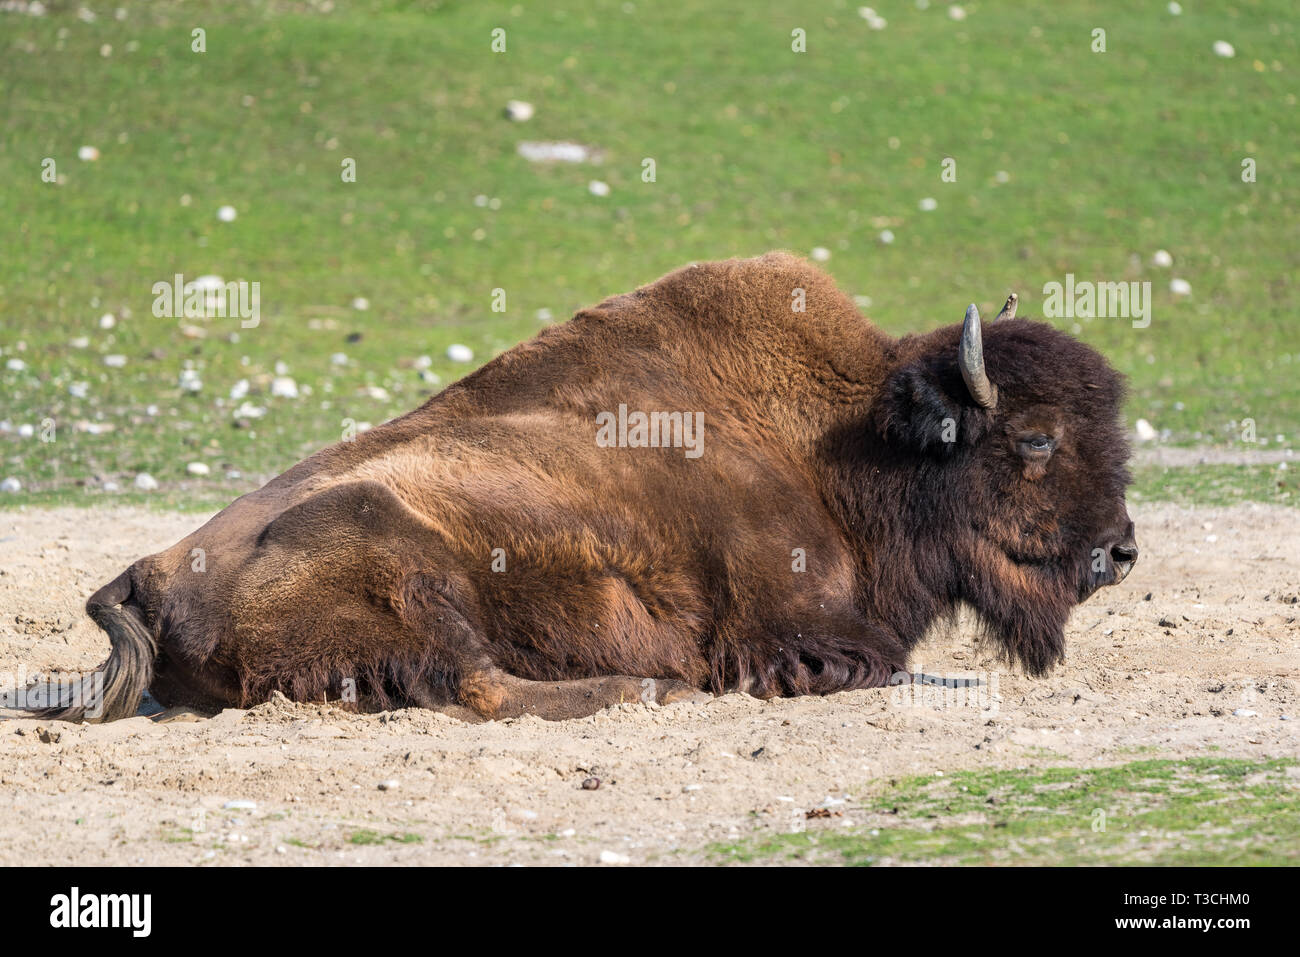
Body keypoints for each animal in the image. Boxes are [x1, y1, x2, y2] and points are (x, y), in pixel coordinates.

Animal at [39, 252, 1137, 723]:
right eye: (1035, 439)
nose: (1121, 549)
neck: (841, 445)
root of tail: (147, 574)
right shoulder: (796, 626)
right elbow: (870, 663)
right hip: (398, 563)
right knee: (479, 686)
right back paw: (648, 687)